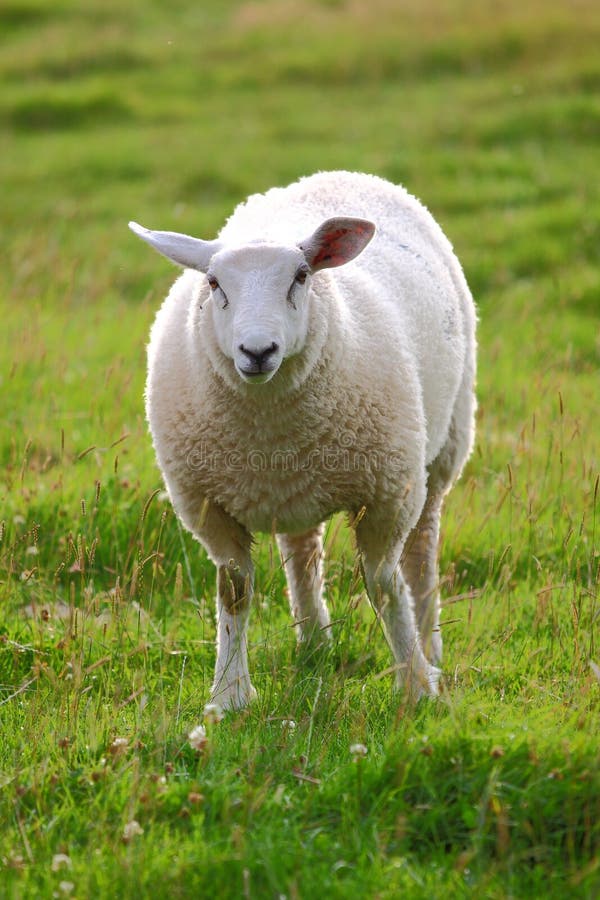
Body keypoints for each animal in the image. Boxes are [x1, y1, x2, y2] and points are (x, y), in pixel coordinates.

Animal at [129, 170, 476, 711]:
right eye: (214, 283)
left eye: (301, 276)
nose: (257, 350)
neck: (269, 427)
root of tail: (336, 173)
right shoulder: (206, 504)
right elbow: (234, 589)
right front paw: (229, 694)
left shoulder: (389, 492)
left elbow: (384, 585)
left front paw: (416, 687)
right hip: (296, 487)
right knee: (302, 553)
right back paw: (313, 641)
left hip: (441, 450)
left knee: (422, 550)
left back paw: (430, 643)